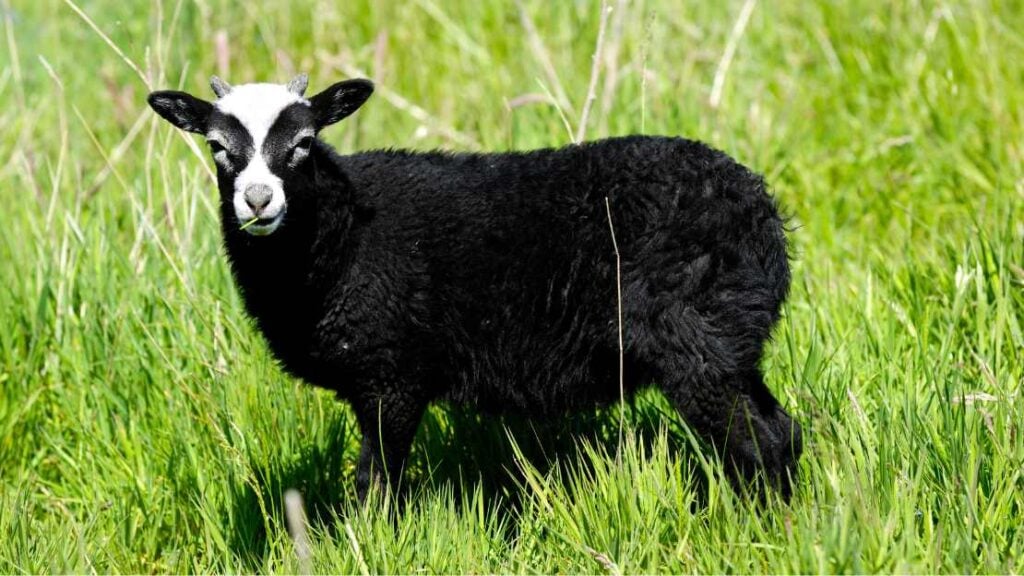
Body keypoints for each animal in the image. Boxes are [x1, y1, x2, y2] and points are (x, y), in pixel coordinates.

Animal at [146, 74, 802, 501]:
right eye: (217, 147)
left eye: (304, 143)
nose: (258, 201)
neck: (340, 241)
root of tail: (763, 211)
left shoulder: (392, 375)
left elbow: (376, 485)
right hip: (731, 341)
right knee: (783, 432)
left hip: (698, 341)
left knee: (758, 442)